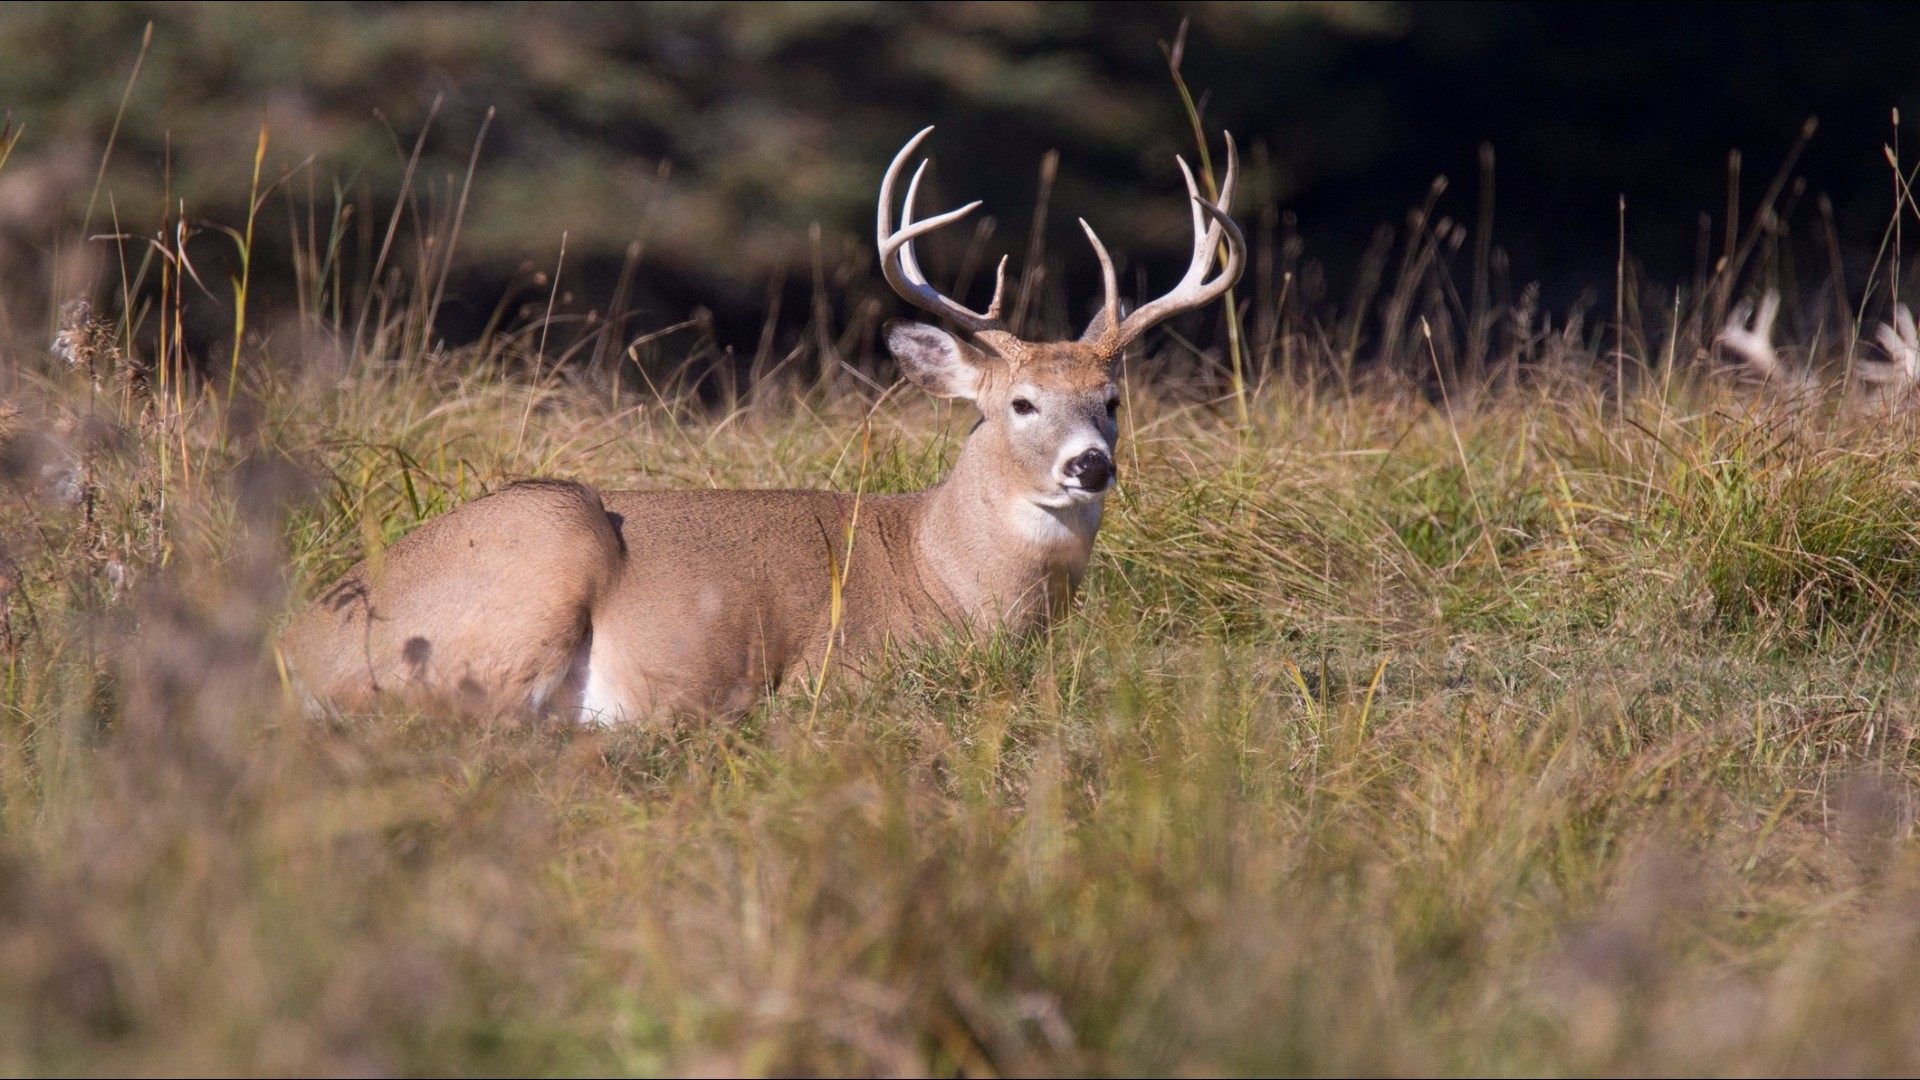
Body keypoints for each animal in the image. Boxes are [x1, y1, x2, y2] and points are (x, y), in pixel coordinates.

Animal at [280, 126, 1246, 723]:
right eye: (1020, 403)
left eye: (1113, 401)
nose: (1090, 466)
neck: (944, 573)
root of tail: (297, 648)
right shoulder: (843, 673)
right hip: (547, 537)